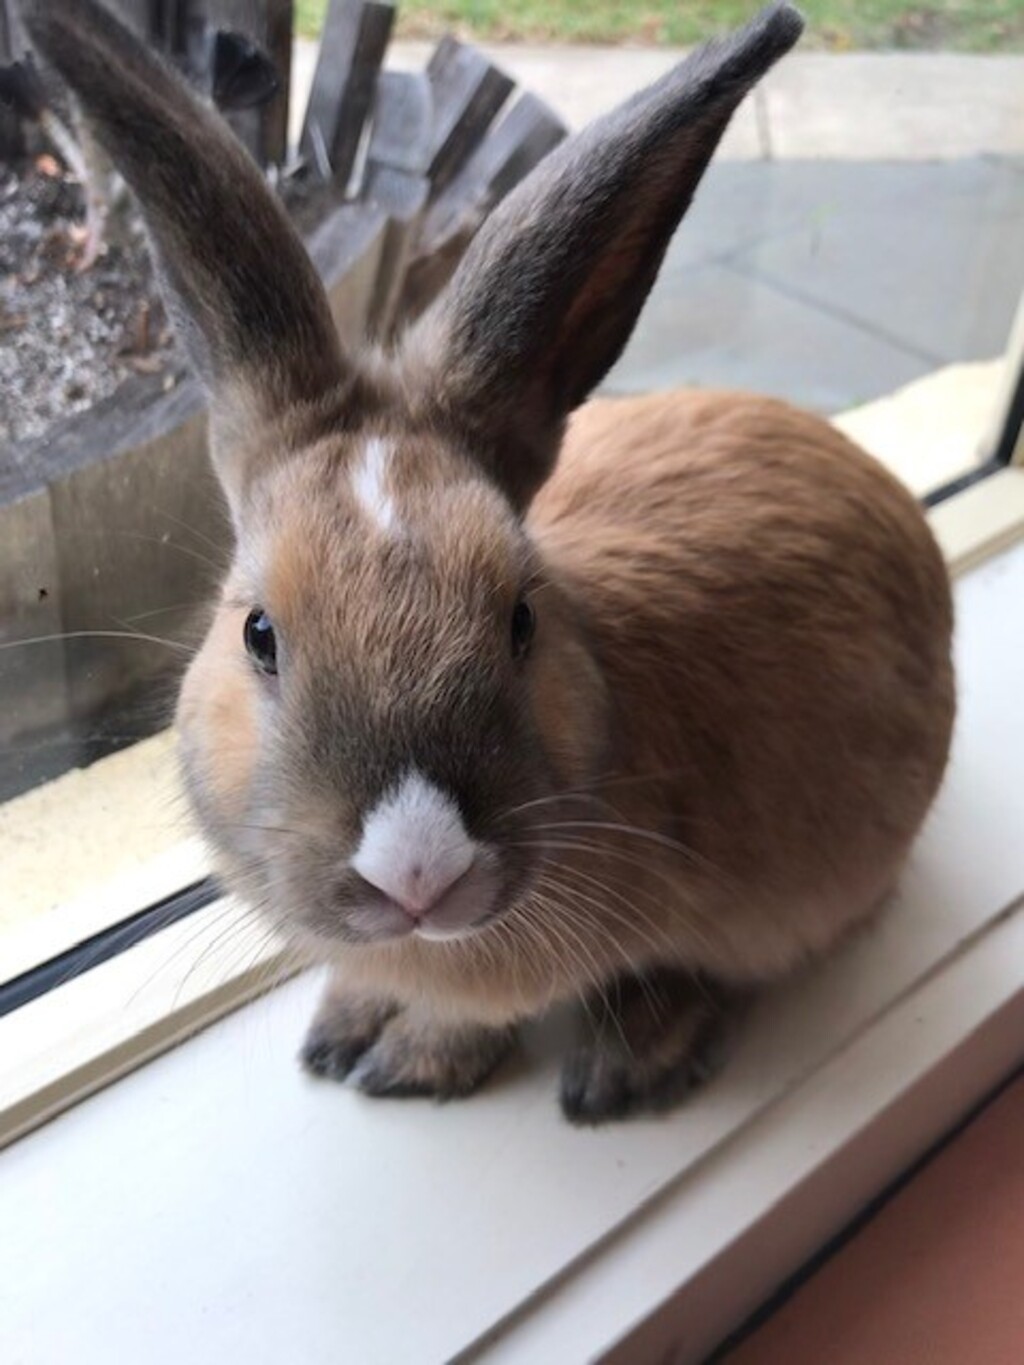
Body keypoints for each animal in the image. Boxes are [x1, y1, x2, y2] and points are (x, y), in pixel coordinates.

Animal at [25, 0, 955, 1123]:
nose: (416, 873)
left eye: (521, 618)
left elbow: (476, 1014)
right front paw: (347, 1025)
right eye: (259, 633)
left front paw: (405, 1059)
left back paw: (636, 1056)